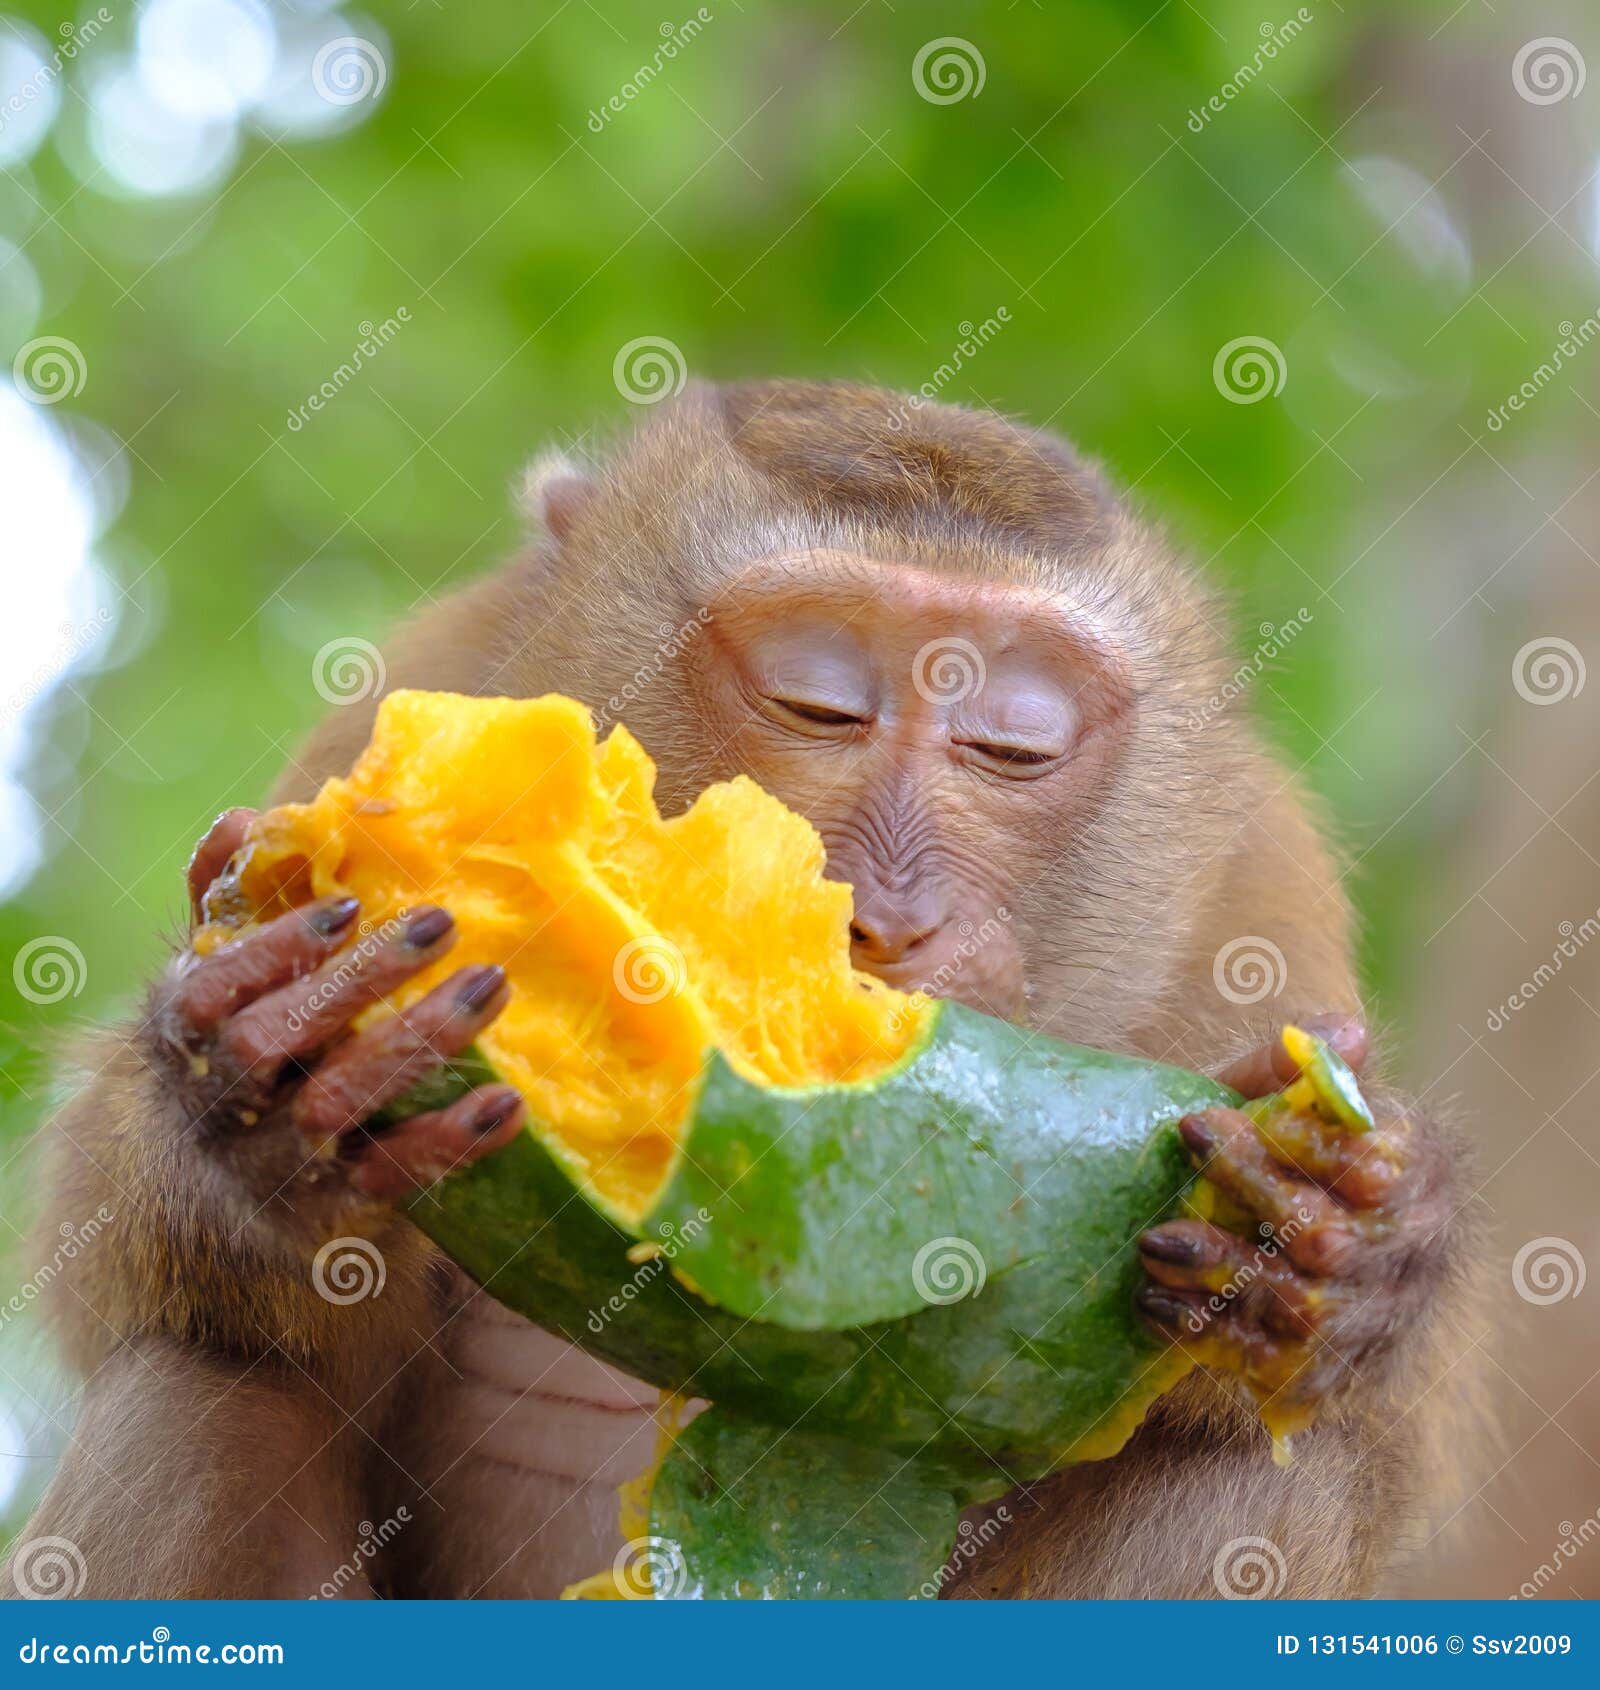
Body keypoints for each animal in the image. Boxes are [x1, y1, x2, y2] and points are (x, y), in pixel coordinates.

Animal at [4, 381, 1484, 1601]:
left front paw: (1362, 1240)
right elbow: (193, 1293)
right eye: (816, 699)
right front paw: (249, 1089)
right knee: (205, 1386)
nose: (885, 914)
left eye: (1012, 742)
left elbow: (1337, 1428)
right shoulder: (410, 691)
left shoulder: (1262, 891)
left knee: (1251, 1483)